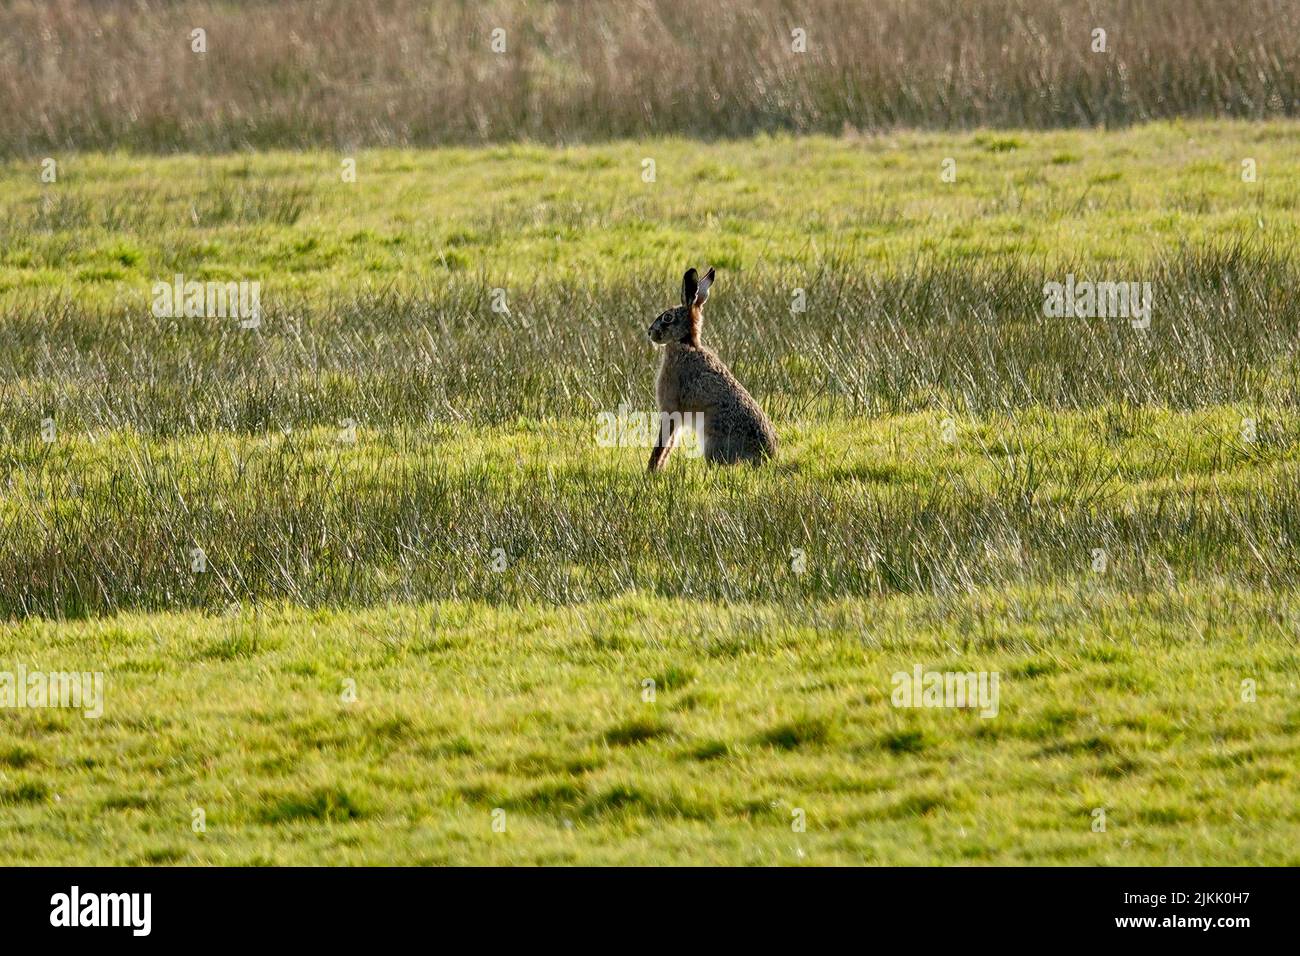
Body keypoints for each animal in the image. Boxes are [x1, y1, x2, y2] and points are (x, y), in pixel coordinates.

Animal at [646, 266, 777, 472]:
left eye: (667, 318)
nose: (649, 332)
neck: (685, 343)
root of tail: (765, 457)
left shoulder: (670, 406)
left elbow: (662, 443)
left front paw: (650, 471)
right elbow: (670, 443)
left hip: (713, 437)